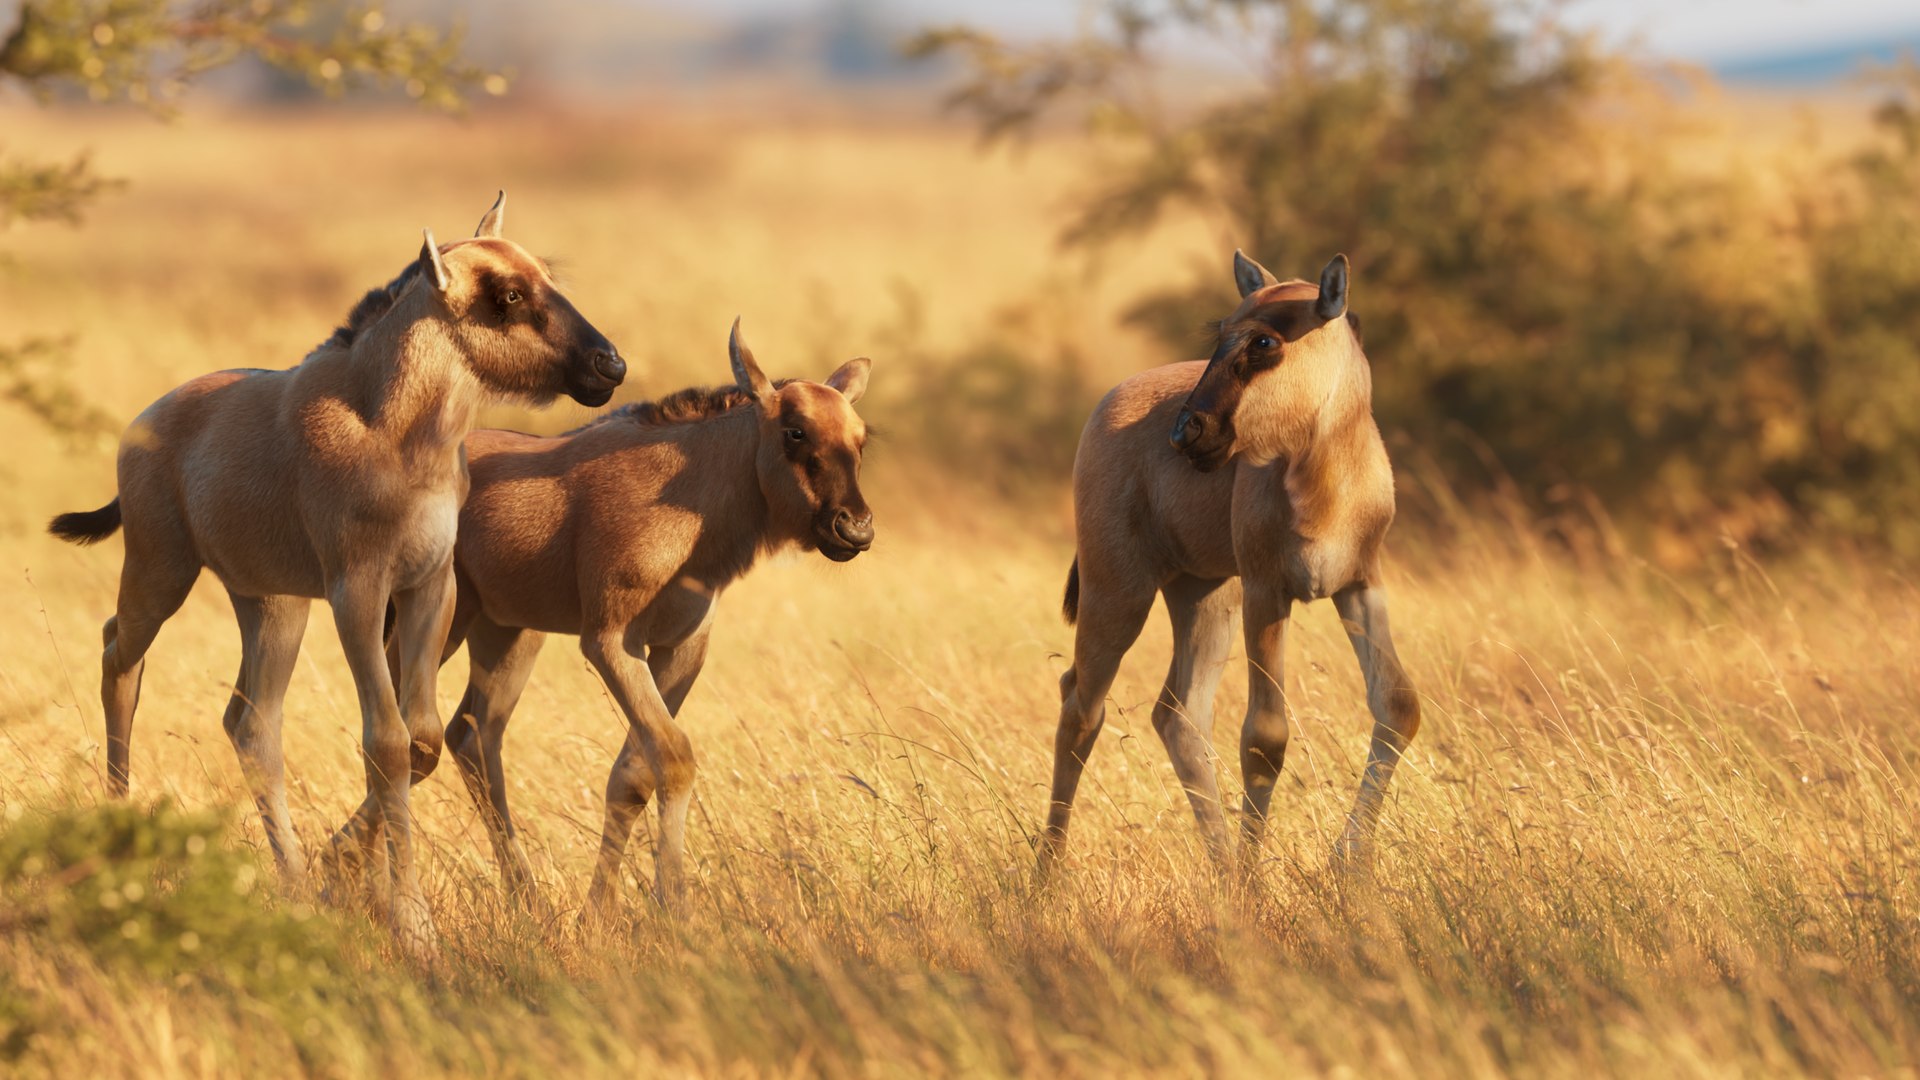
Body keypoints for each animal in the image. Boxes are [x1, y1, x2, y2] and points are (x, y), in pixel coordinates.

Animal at [48, 194, 626, 952]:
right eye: (507, 295)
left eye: (545, 274)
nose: (609, 365)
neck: (393, 429)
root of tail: (144, 422)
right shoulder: (358, 593)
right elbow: (387, 741)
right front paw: (412, 925)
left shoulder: (429, 588)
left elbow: (423, 737)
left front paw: (349, 879)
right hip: (160, 572)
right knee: (119, 652)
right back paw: (118, 821)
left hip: (272, 605)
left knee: (251, 724)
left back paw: (295, 885)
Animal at [414, 319, 872, 912]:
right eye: (795, 431)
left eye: (861, 438)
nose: (854, 528)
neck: (691, 505)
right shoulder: (609, 640)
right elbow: (674, 757)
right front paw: (673, 903)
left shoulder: (680, 648)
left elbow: (635, 772)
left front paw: (599, 910)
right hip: (434, 623)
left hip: (508, 634)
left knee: (469, 735)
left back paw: (526, 899)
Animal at [1039, 251, 1420, 877]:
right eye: (1220, 333)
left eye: (1265, 340)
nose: (1187, 432)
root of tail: (1110, 402)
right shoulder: (1267, 594)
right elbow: (1265, 738)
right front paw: (1257, 881)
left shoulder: (1359, 585)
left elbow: (1398, 706)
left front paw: (1348, 864)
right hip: (1118, 594)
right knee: (1080, 706)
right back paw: (1046, 875)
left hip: (1205, 596)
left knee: (1179, 713)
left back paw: (1221, 871)